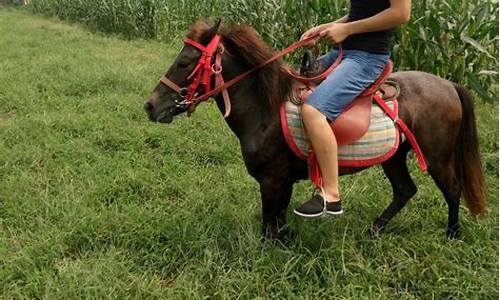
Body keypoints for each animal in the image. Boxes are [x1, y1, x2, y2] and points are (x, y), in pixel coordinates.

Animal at [144, 21, 484, 239]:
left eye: (185, 62)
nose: (150, 105)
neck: (265, 108)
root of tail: (450, 84)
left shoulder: (272, 180)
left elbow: (268, 225)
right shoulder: (282, 181)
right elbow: (278, 220)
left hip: (437, 156)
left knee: (452, 190)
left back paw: (452, 234)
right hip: (394, 155)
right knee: (405, 190)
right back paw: (374, 230)